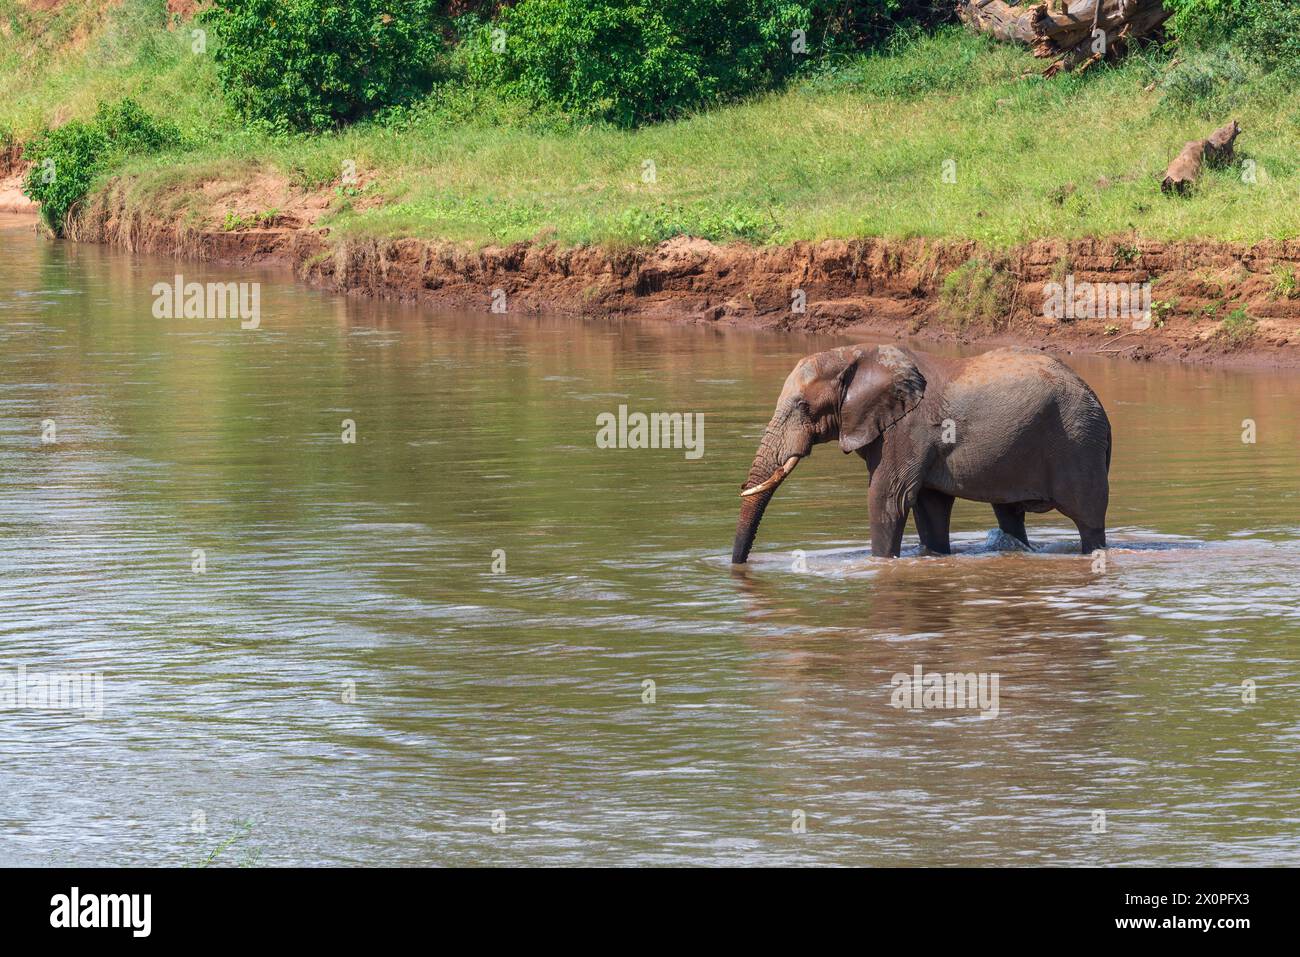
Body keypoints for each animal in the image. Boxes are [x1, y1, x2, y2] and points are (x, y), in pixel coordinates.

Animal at [731, 344, 1111, 562]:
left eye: (803, 406)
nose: (739, 567)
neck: (855, 354)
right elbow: (929, 508)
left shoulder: (907, 429)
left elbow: (889, 499)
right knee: (1009, 515)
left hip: (1080, 440)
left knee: (1088, 520)